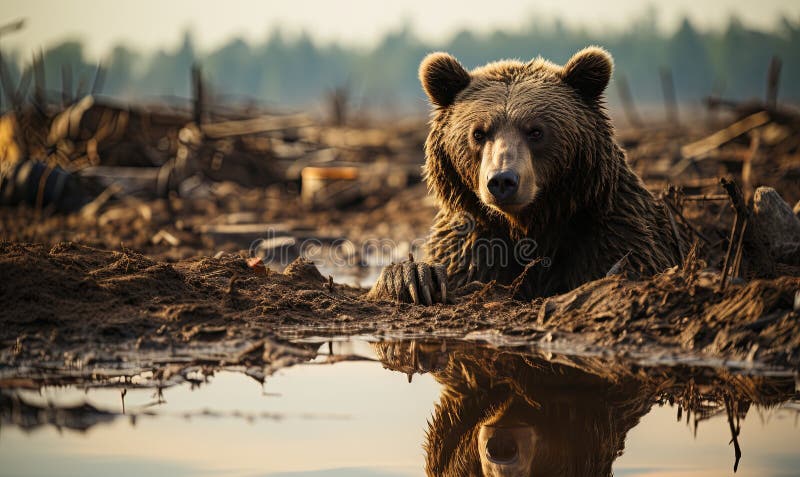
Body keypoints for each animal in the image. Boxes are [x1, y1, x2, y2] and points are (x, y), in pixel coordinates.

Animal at [367, 46, 684, 304]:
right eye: (478, 133)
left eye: (536, 131)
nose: (502, 181)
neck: (528, 225)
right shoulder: (472, 244)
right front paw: (416, 277)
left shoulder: (609, 229)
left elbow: (625, 258)